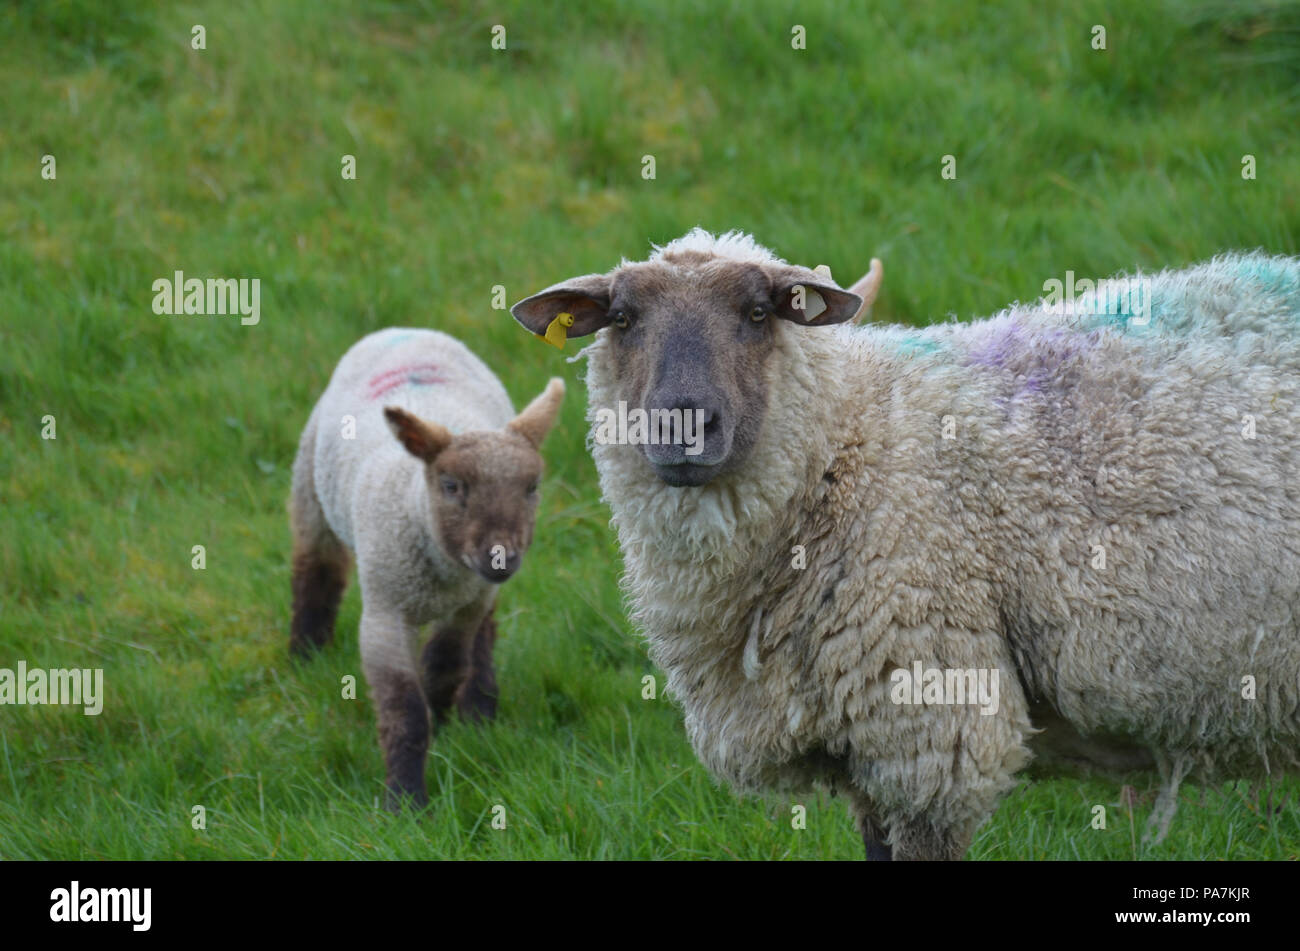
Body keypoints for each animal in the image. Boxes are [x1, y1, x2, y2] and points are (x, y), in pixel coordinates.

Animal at [288, 327, 564, 808]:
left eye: (532, 487)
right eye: (451, 486)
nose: (502, 557)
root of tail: (408, 331)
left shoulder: (468, 603)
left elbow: (445, 663)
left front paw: (446, 714)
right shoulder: (384, 613)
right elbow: (405, 707)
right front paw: (405, 801)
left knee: (484, 632)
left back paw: (480, 706)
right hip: (310, 490)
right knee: (316, 571)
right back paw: (306, 650)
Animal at [512, 229, 1300, 859]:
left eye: (759, 312)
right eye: (622, 318)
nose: (681, 425)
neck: (850, 445)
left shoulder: (932, 728)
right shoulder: (865, 748)